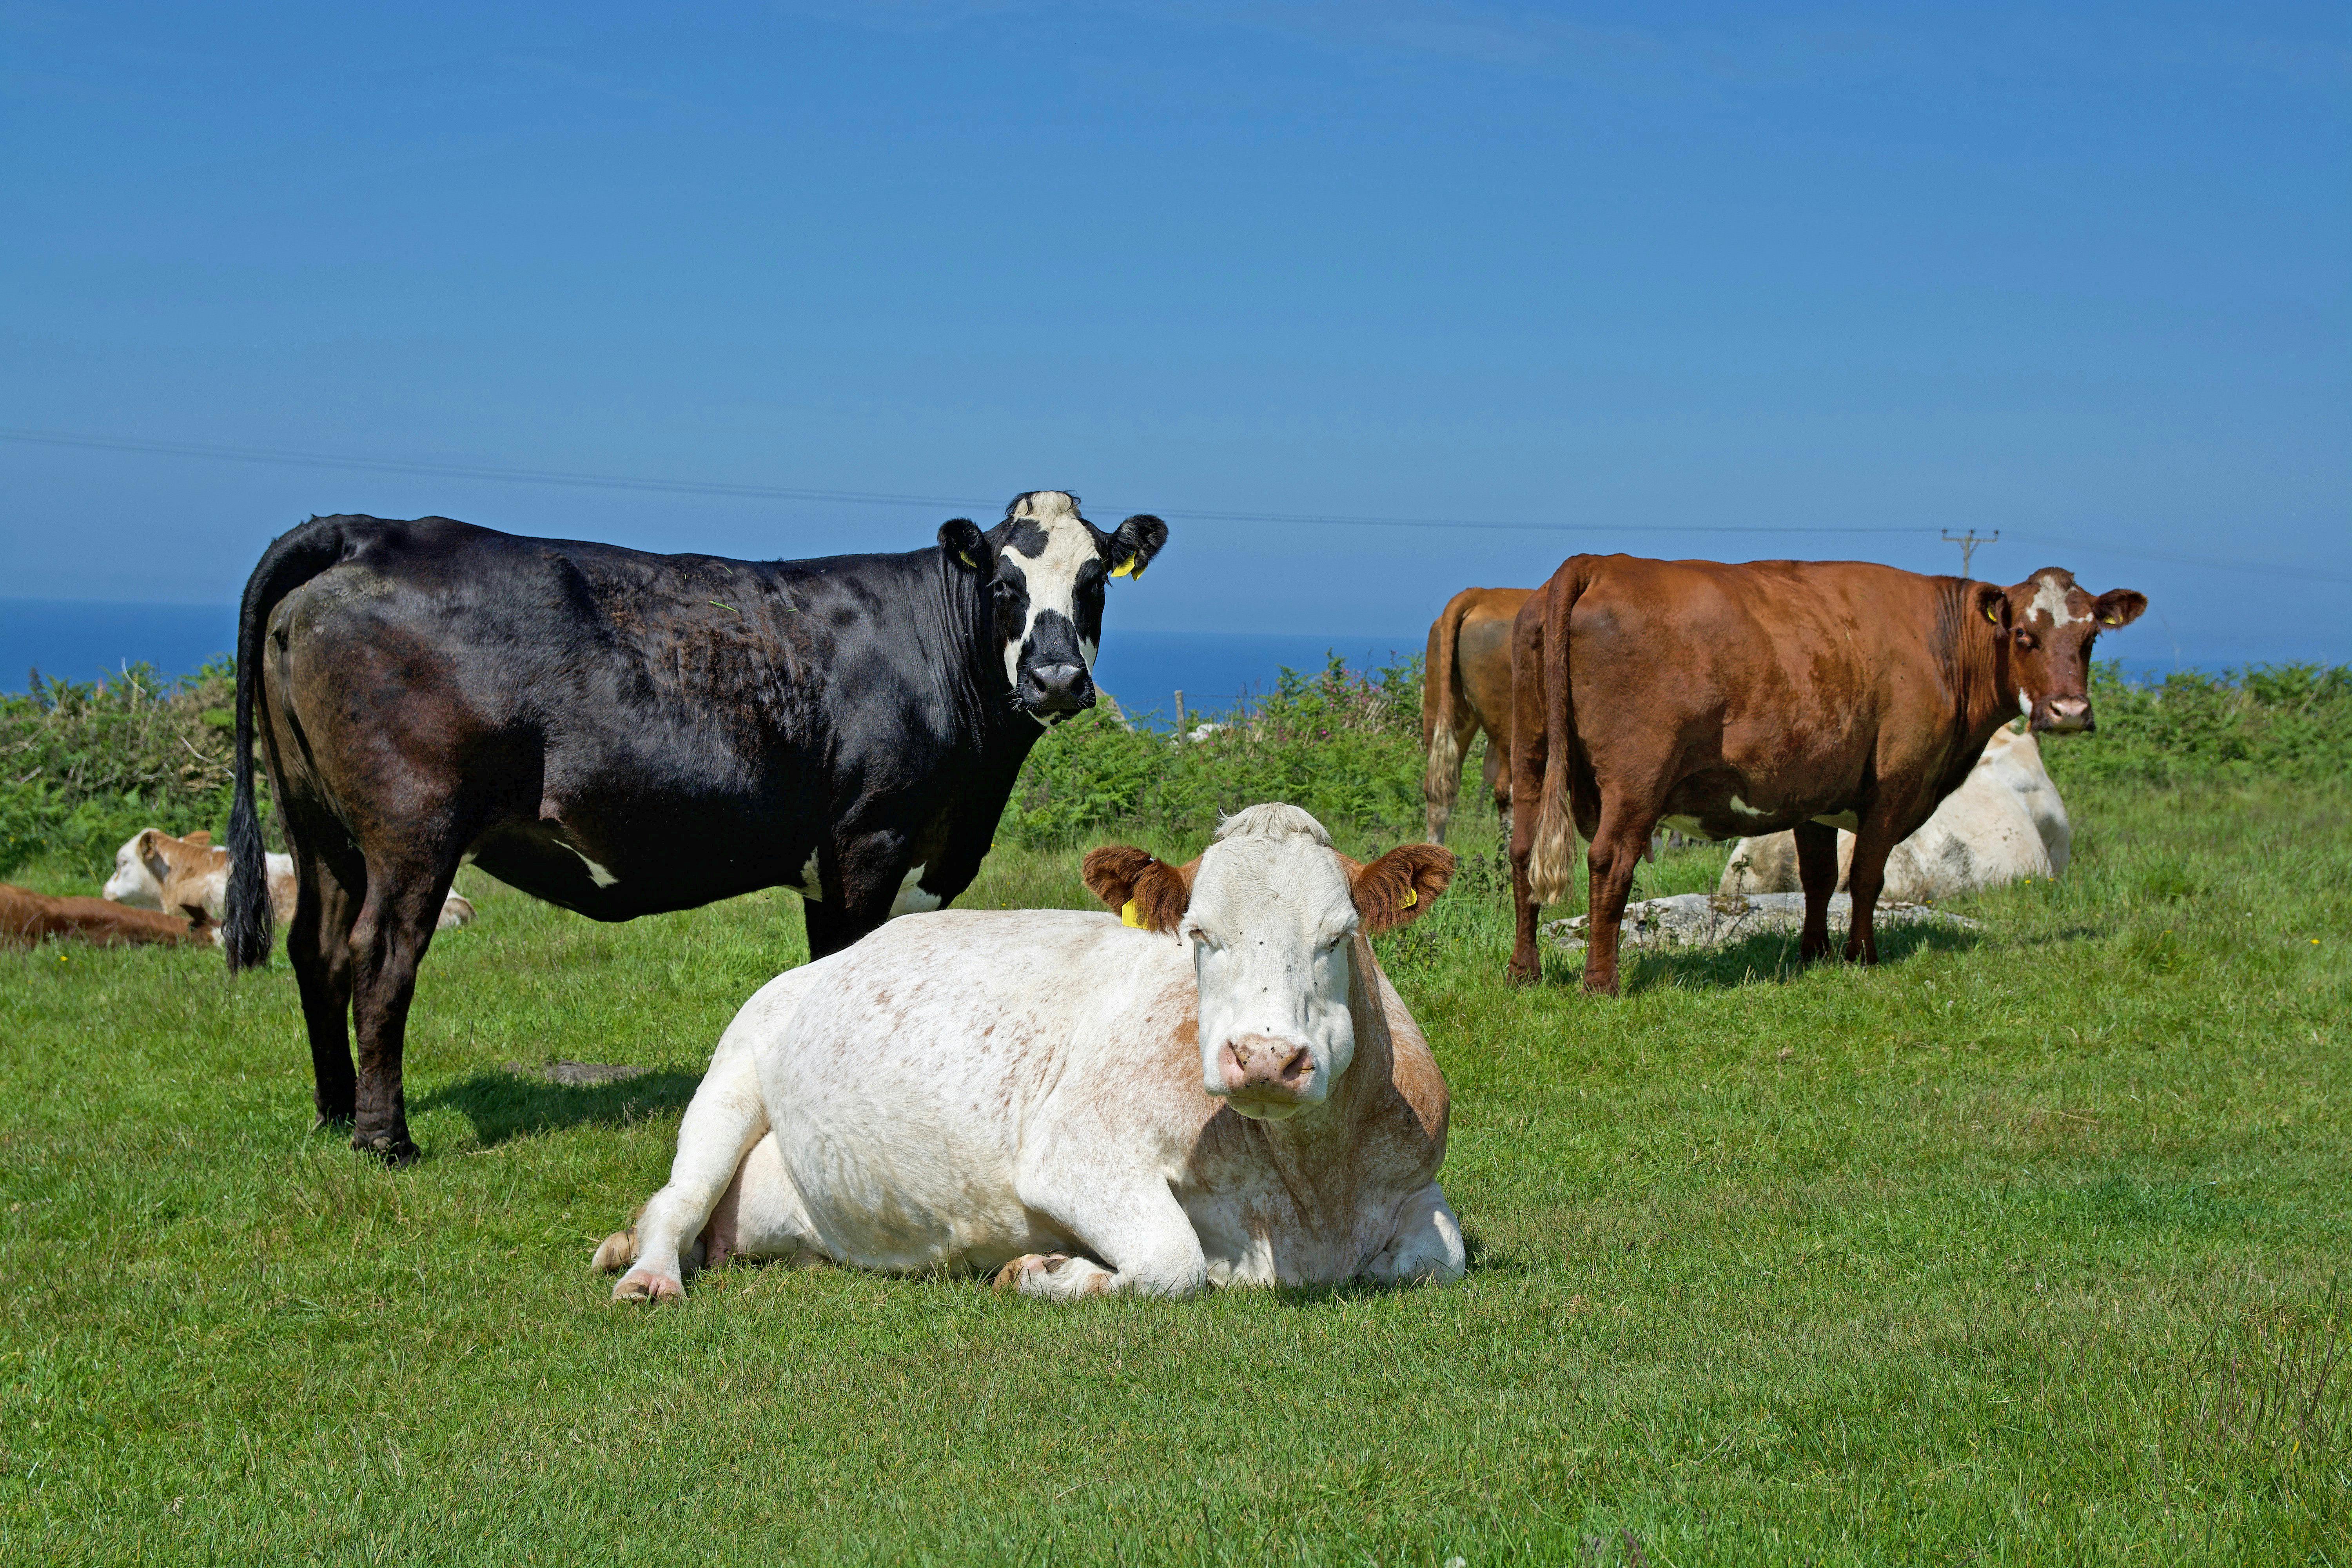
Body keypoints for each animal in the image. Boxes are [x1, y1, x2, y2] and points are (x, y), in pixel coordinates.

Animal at [224, 490, 1169, 1161]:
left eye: (1093, 583)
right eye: (1003, 585)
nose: (1056, 680)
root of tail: (370, 531)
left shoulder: (849, 863)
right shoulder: (871, 841)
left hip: (317, 822)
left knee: (316, 946)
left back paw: (334, 1111)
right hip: (413, 824)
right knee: (379, 956)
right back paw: (385, 1139)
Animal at [593, 804, 1464, 1302]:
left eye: (1340, 936)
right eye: (1198, 933)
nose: (1264, 1057)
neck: (1311, 1187)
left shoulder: (1417, 1182)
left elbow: (1441, 1256)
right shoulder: (1073, 1155)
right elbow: (1172, 1261)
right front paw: (1048, 1271)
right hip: (731, 1075)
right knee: (675, 1200)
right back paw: (645, 1272)